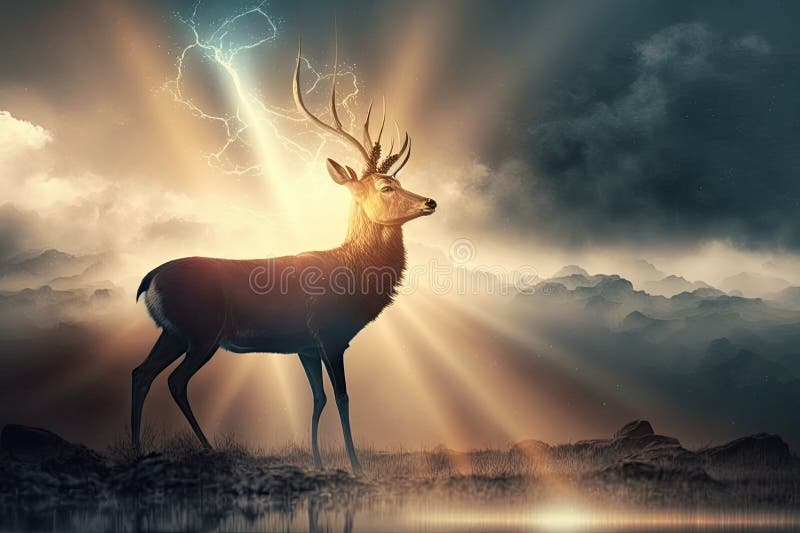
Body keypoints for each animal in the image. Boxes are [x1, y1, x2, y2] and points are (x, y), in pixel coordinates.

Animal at [131, 42, 437, 474]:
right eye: (386, 186)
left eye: (399, 180)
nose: (430, 202)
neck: (352, 272)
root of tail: (149, 279)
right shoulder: (330, 335)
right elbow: (341, 398)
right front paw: (356, 466)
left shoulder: (304, 345)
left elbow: (318, 399)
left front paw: (319, 462)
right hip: (202, 333)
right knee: (175, 381)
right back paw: (206, 447)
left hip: (172, 332)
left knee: (141, 373)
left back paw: (138, 449)